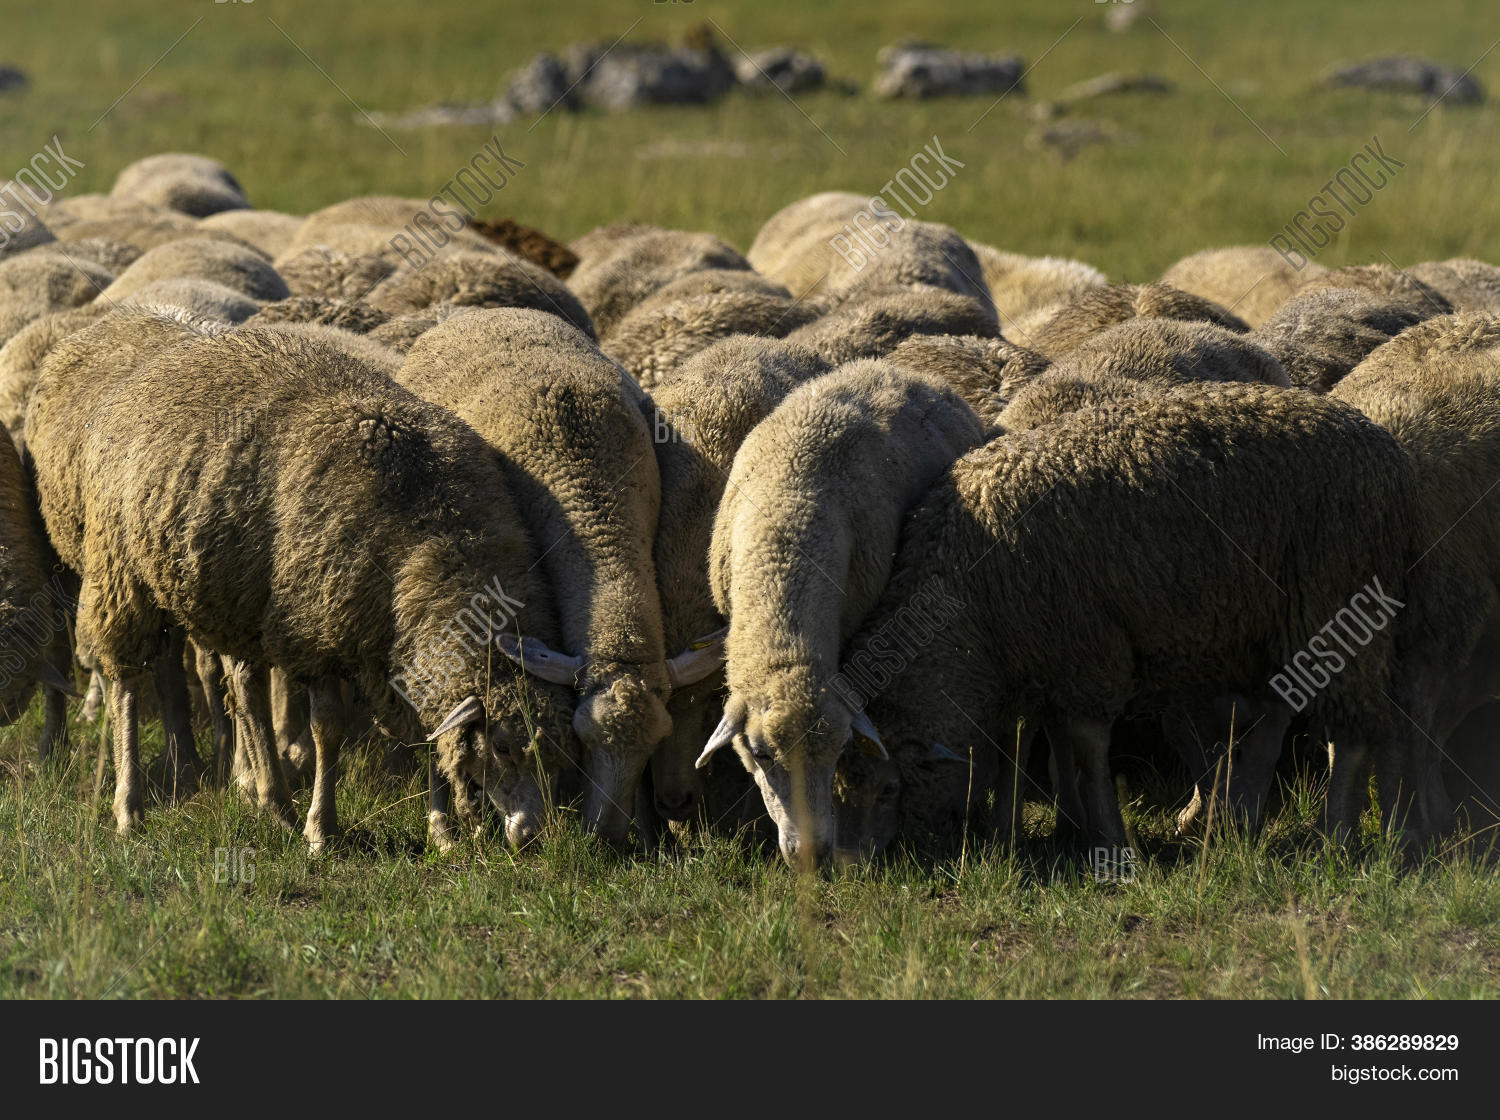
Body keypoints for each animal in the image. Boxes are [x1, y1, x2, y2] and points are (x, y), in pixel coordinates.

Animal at [26, 308, 574, 848]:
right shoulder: (315, 633)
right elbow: (327, 729)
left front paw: (441, 830)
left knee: (243, 688)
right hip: (124, 576)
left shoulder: (395, 647)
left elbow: (426, 734)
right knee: (127, 682)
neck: (435, 536)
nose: (531, 835)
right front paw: (322, 829)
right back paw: (131, 806)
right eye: (501, 747)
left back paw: (268, 797)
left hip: (231, 591)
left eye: (552, 748)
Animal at [835, 384, 1442, 860]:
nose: (850, 864)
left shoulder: (1088, 650)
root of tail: (1393, 457)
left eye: (889, 790)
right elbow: (1039, 739)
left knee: (1351, 728)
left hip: (1335, 600)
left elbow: (1086, 749)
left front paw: (1107, 838)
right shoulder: (1042, 655)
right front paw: (1045, 832)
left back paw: (1331, 835)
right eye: (842, 787)